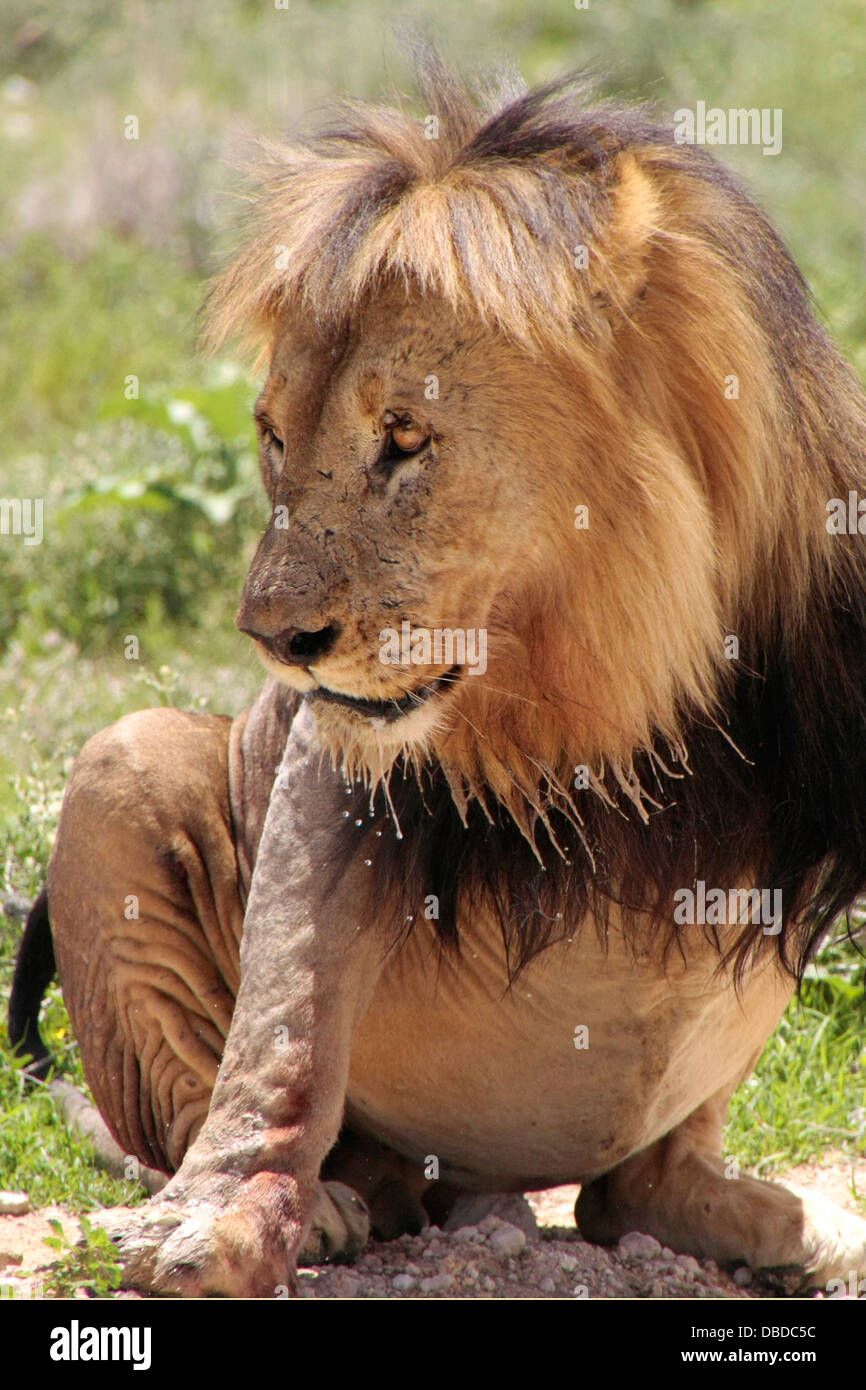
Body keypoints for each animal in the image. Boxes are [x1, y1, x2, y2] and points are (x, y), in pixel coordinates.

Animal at [10, 50, 866, 1296]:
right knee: (215, 1111)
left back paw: (791, 1228)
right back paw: (326, 1199)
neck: (612, 682)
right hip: (125, 757)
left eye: (404, 438)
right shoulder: (337, 764)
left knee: (630, 1193)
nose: (269, 635)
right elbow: (286, 1017)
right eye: (273, 438)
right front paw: (213, 1220)